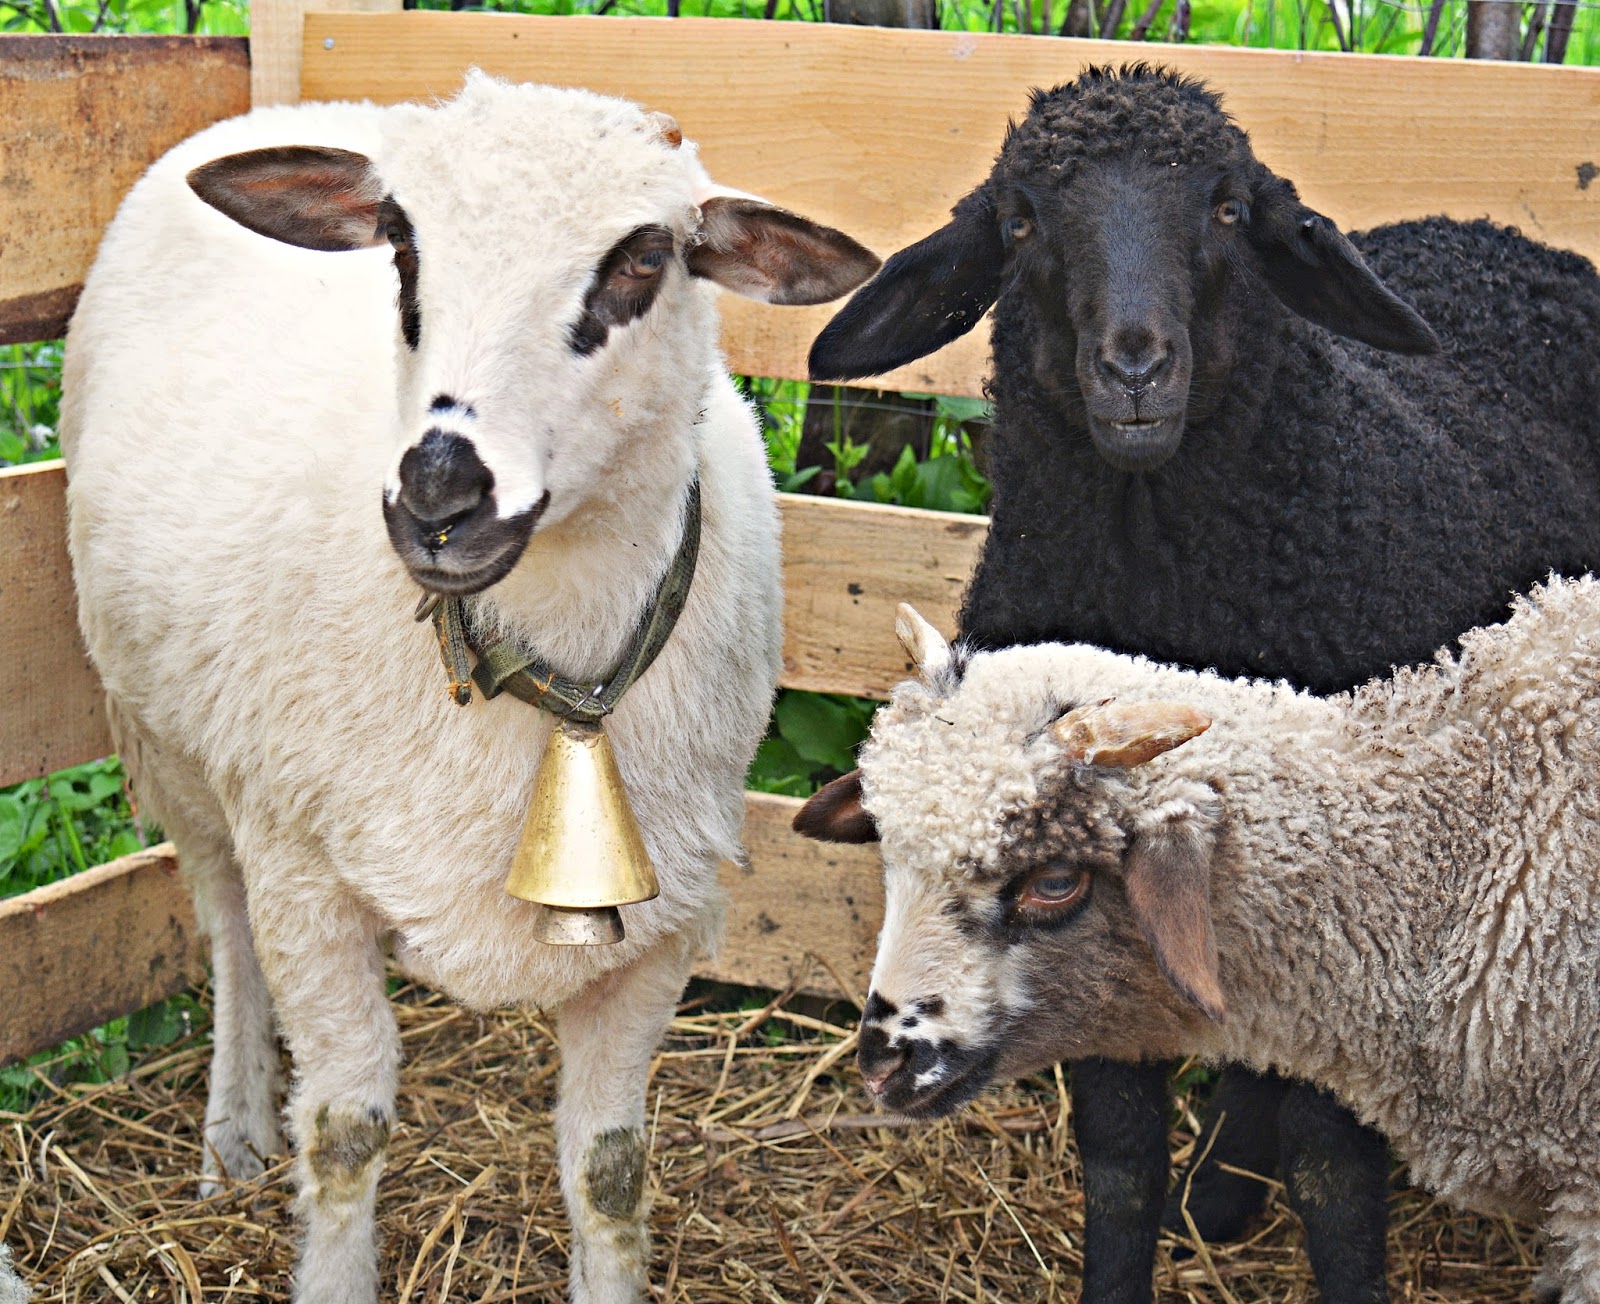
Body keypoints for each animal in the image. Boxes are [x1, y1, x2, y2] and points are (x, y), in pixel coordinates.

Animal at [58, 73, 878, 1304]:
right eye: (400, 245)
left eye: (645, 258)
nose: (440, 496)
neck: (534, 658)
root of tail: (281, 109)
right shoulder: (306, 876)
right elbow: (343, 1131)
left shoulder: (665, 927)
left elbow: (612, 1169)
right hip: (175, 746)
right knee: (226, 928)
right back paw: (232, 1132)